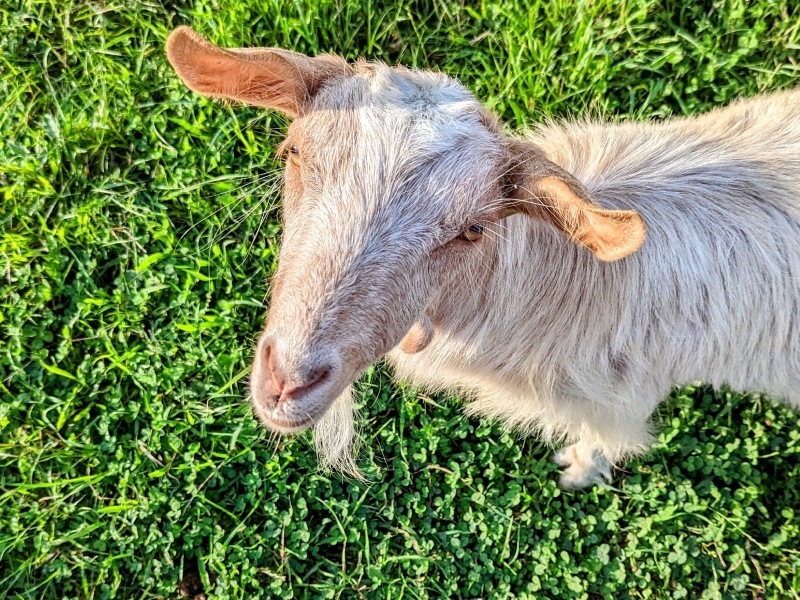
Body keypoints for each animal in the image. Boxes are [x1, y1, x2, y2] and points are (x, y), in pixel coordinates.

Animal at [166, 26, 800, 489]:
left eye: (472, 229)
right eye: (294, 152)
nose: (288, 382)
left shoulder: (623, 402)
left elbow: (605, 441)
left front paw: (577, 472)